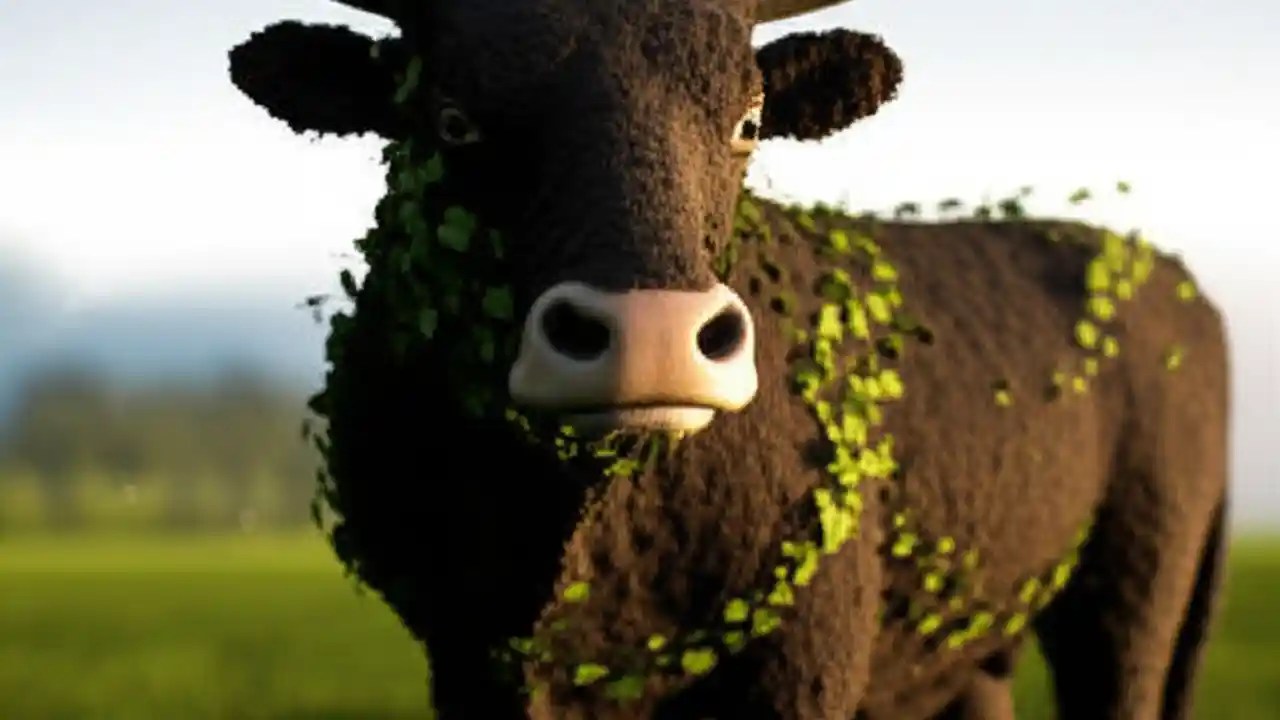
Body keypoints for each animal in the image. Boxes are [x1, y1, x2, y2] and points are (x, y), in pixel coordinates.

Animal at [228, 1, 1231, 718]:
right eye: (450, 119)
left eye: (749, 119)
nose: (653, 338)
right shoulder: (470, 657)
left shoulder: (808, 642)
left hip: (1139, 584)